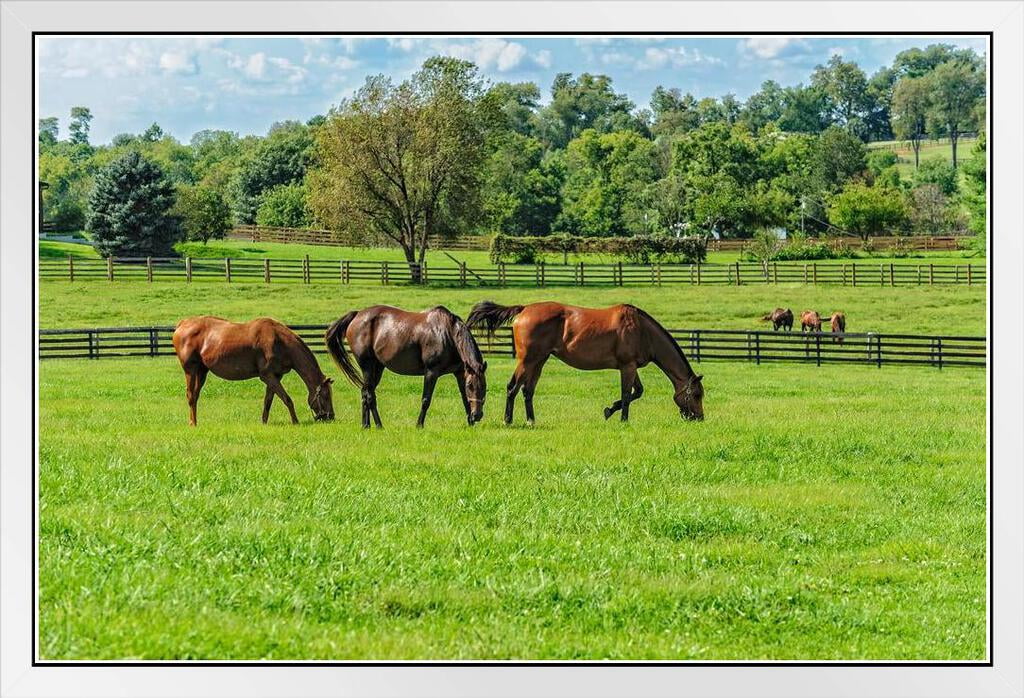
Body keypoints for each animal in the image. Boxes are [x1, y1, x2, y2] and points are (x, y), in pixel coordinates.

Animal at [172, 316, 334, 426]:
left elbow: (268, 401)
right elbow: (287, 399)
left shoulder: (275, 376)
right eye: (325, 396)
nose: (330, 417)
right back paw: (193, 423)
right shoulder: (267, 376)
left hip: (202, 371)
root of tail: (183, 324)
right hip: (191, 371)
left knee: (195, 396)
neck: (280, 342)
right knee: (191, 396)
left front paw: (264, 422)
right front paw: (295, 421)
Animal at [324, 306, 487, 428]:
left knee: (365, 392)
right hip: (367, 366)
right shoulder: (431, 372)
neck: (448, 334)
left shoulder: (459, 373)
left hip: (377, 368)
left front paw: (470, 423)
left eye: (484, 386)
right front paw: (419, 425)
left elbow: (464, 399)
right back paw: (379, 425)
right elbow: (426, 400)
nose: (477, 415)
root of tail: (357, 315)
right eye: (471, 386)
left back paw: (366, 425)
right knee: (370, 395)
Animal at [466, 301, 704, 424]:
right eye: (697, 395)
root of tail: (523, 309)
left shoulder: (630, 366)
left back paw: (531, 420)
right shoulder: (627, 366)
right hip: (527, 360)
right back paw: (508, 419)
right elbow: (628, 394)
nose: (699, 418)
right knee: (512, 387)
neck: (642, 330)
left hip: (539, 361)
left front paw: (610, 410)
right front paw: (622, 419)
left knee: (528, 390)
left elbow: (637, 392)